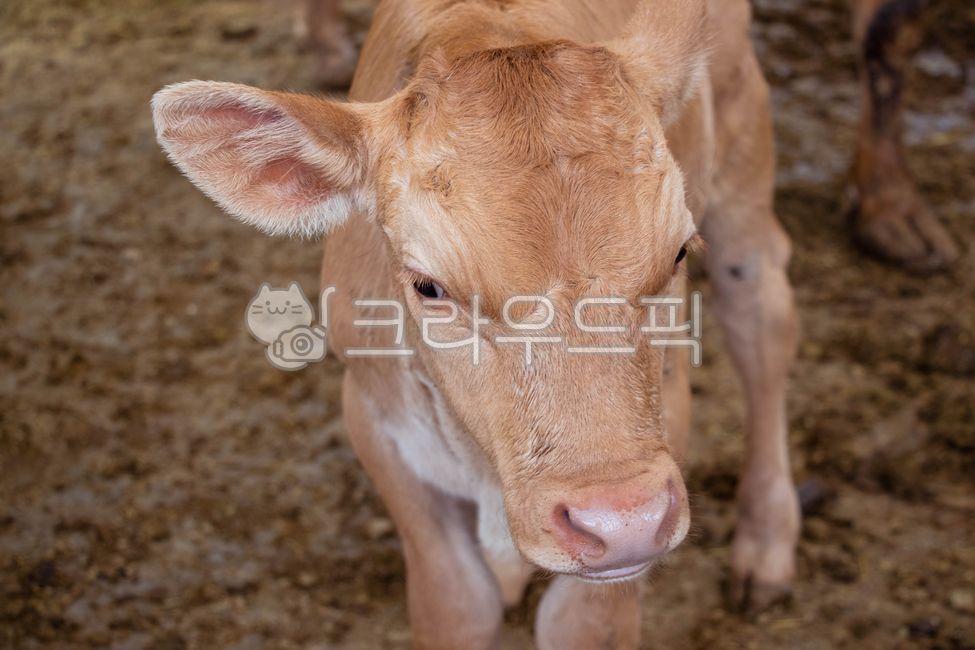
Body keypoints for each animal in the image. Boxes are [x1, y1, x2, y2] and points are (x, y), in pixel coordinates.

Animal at [152, 0, 800, 646]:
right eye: (428, 286)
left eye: (679, 253)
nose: (623, 521)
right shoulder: (374, 417)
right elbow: (455, 602)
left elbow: (582, 622)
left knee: (763, 322)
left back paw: (766, 543)